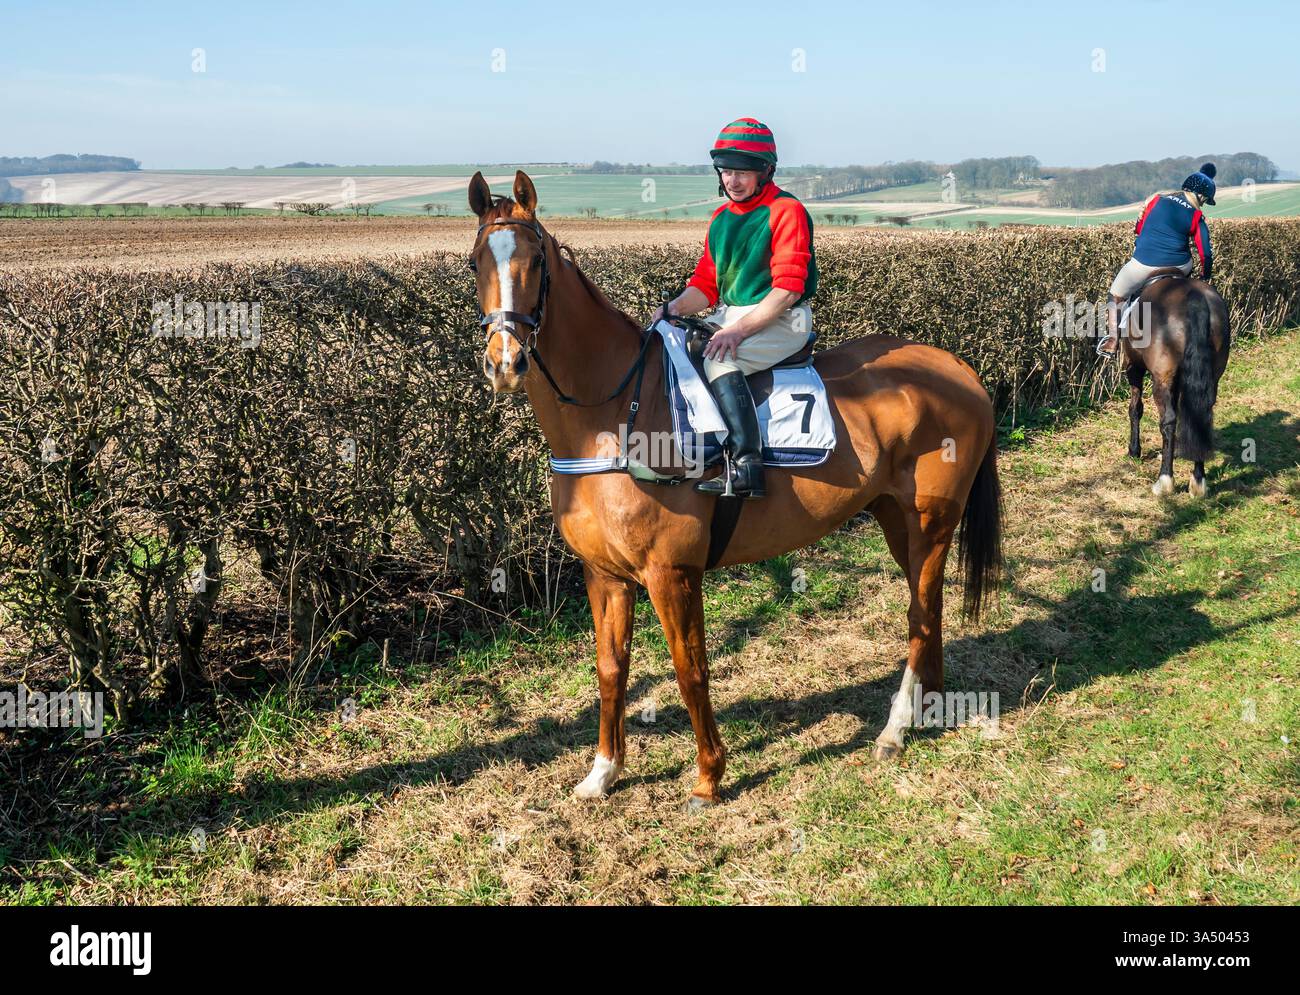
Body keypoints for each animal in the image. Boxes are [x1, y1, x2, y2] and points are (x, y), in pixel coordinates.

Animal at [467, 170, 1003, 807]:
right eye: (476, 262)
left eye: (534, 262)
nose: (505, 363)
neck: (613, 414)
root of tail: (957, 368)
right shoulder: (604, 574)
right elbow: (610, 666)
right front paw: (603, 771)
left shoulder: (671, 573)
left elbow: (689, 668)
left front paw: (708, 776)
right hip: (896, 519)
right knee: (932, 607)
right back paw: (933, 708)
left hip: (931, 522)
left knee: (920, 615)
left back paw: (894, 731)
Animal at [1119, 271, 1230, 497]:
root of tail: (1195, 299)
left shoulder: (1134, 366)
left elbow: (1135, 409)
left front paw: (1134, 451)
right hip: (1211, 375)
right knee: (1200, 416)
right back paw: (1198, 481)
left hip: (1162, 377)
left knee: (1168, 421)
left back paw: (1165, 481)